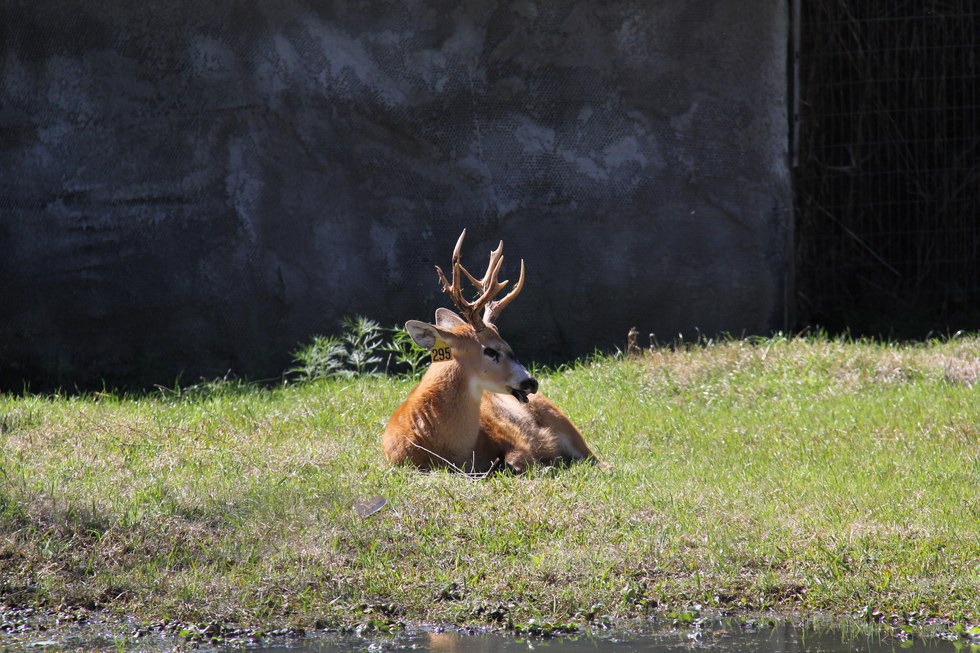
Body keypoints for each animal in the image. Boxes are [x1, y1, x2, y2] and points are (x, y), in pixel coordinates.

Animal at [382, 229, 605, 473]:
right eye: (490, 351)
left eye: (508, 344)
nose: (531, 382)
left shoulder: (515, 437)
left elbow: (519, 460)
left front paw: (543, 465)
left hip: (563, 422)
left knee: (598, 460)